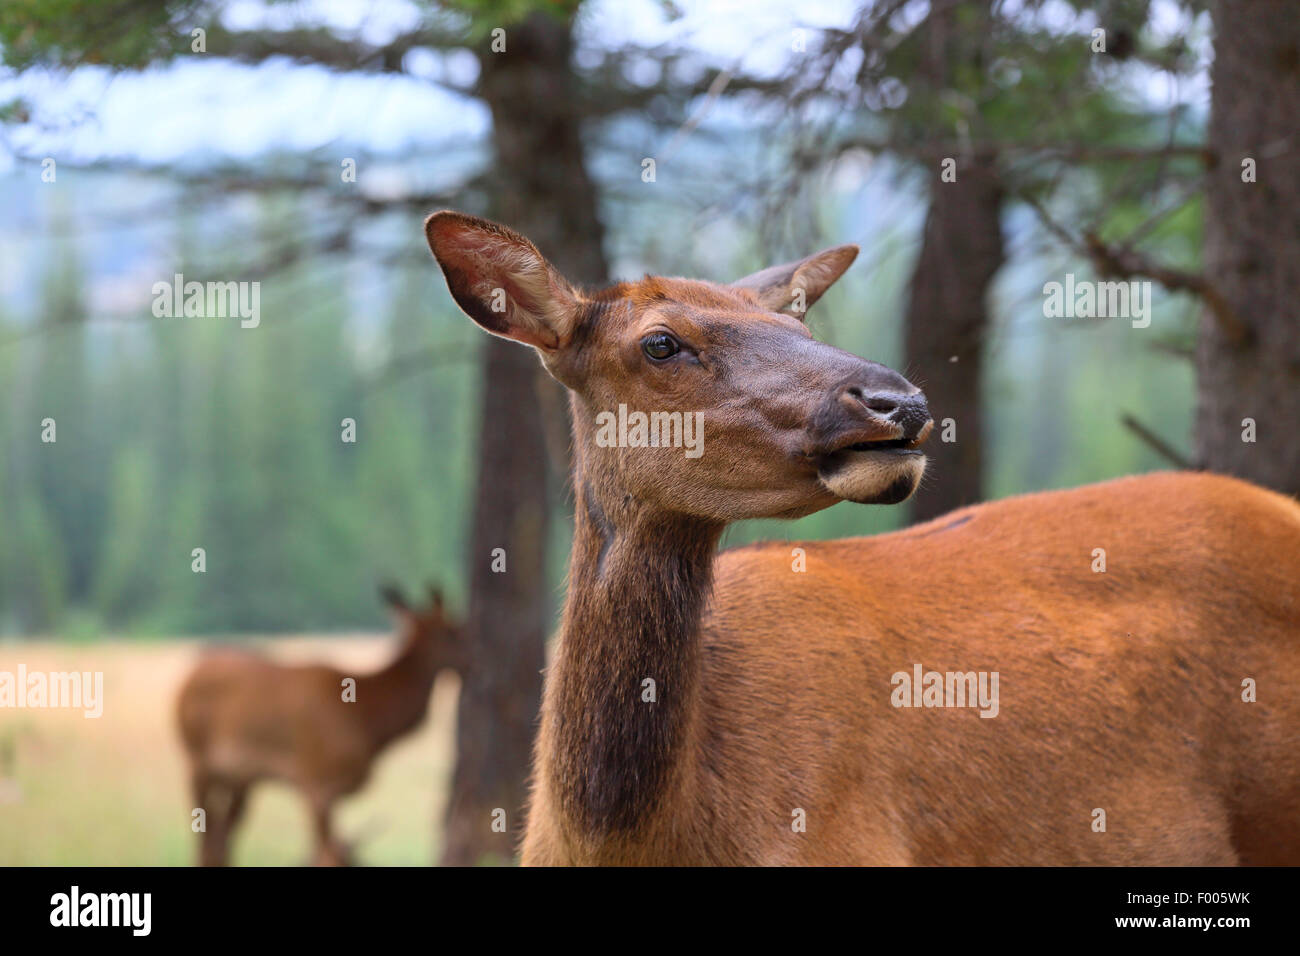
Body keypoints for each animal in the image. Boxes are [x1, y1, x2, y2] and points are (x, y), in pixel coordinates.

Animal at [176, 586, 462, 866]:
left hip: (240, 778)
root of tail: (187, 680)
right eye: (452, 631)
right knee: (206, 841)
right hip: (197, 762)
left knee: (222, 839)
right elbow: (327, 854)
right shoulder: (318, 784)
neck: (366, 719)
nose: (469, 661)